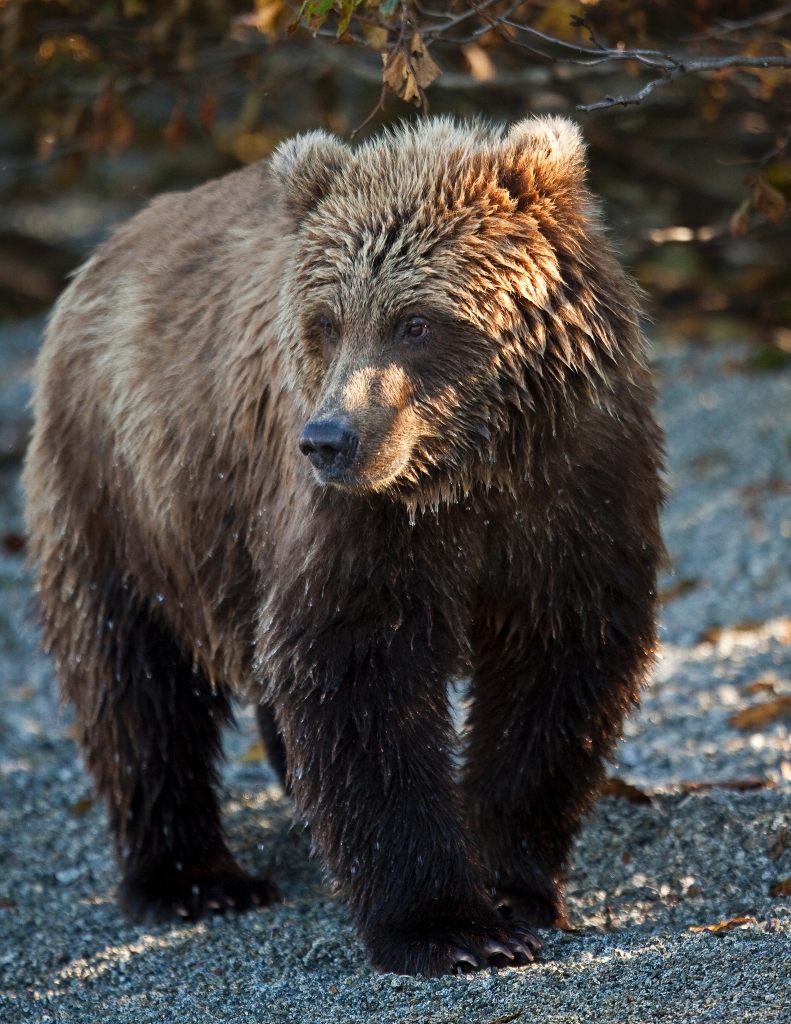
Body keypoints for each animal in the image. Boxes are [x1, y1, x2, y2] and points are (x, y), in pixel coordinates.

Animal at [23, 116, 664, 977]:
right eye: (326, 322)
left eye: (415, 321)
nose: (329, 439)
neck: (471, 471)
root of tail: (102, 253)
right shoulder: (365, 527)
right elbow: (360, 679)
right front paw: (447, 926)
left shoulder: (574, 494)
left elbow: (556, 672)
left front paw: (509, 885)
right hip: (125, 495)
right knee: (134, 685)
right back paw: (192, 879)